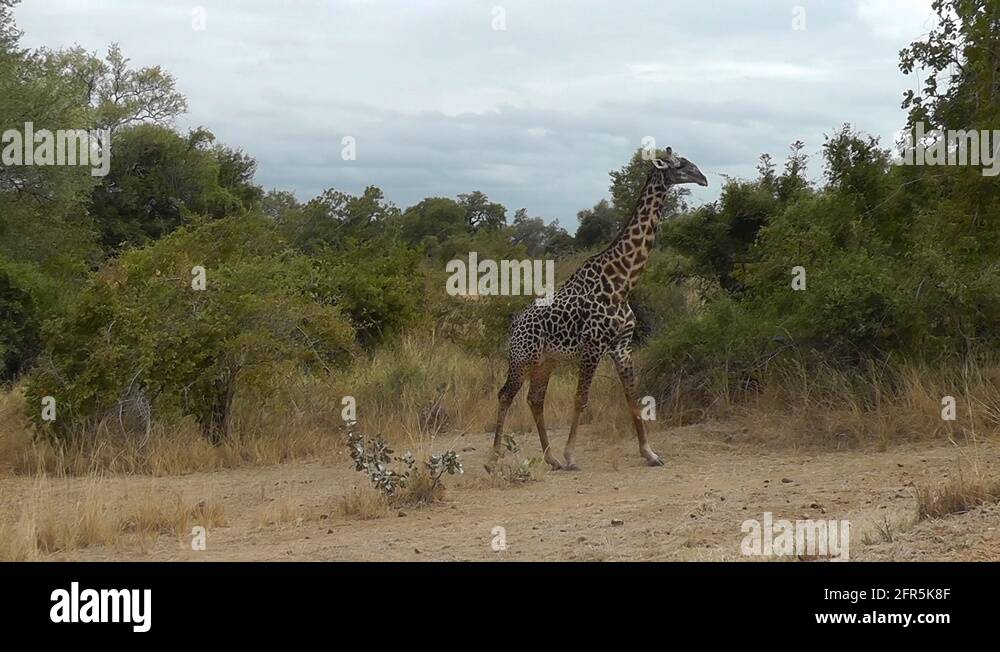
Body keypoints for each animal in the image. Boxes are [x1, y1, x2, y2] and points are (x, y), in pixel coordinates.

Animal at [489, 148, 708, 471]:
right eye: (680, 164)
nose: (703, 178)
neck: (622, 282)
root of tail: (515, 323)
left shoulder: (622, 346)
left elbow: (633, 398)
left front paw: (650, 453)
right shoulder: (593, 346)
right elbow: (581, 399)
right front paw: (571, 455)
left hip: (546, 362)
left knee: (534, 399)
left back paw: (551, 458)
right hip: (522, 358)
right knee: (505, 395)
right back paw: (494, 458)